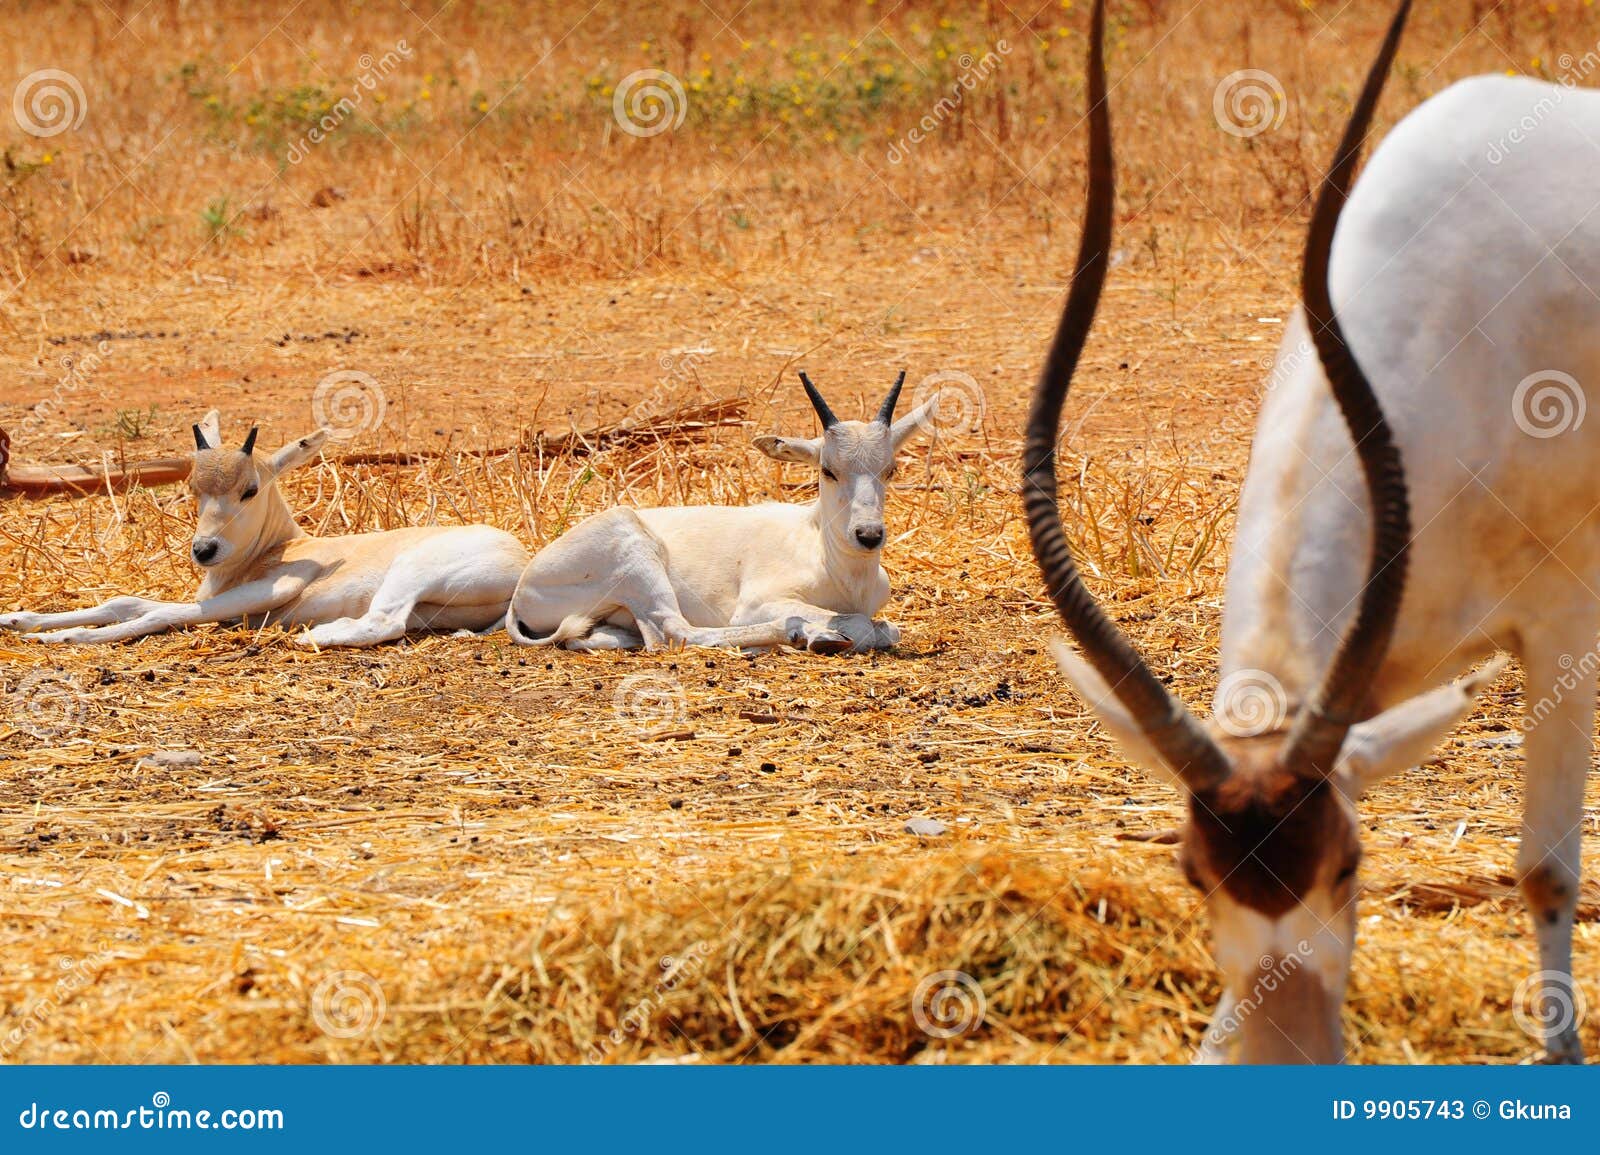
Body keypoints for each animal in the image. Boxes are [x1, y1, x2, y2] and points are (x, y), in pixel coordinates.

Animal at [0, 410, 528, 647]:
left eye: (250, 489)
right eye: (192, 485)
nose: (204, 550)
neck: (280, 547)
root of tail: (520, 560)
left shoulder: (264, 594)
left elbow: (161, 614)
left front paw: (64, 638)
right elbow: (124, 602)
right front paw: (20, 619)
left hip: (410, 573)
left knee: (385, 622)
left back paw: (310, 637)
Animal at [505, 372, 933, 653]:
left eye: (890, 469)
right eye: (828, 470)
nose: (868, 535)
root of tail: (522, 591)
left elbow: (887, 628)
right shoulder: (756, 605)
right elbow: (868, 625)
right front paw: (819, 633)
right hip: (637, 560)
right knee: (679, 631)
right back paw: (802, 634)